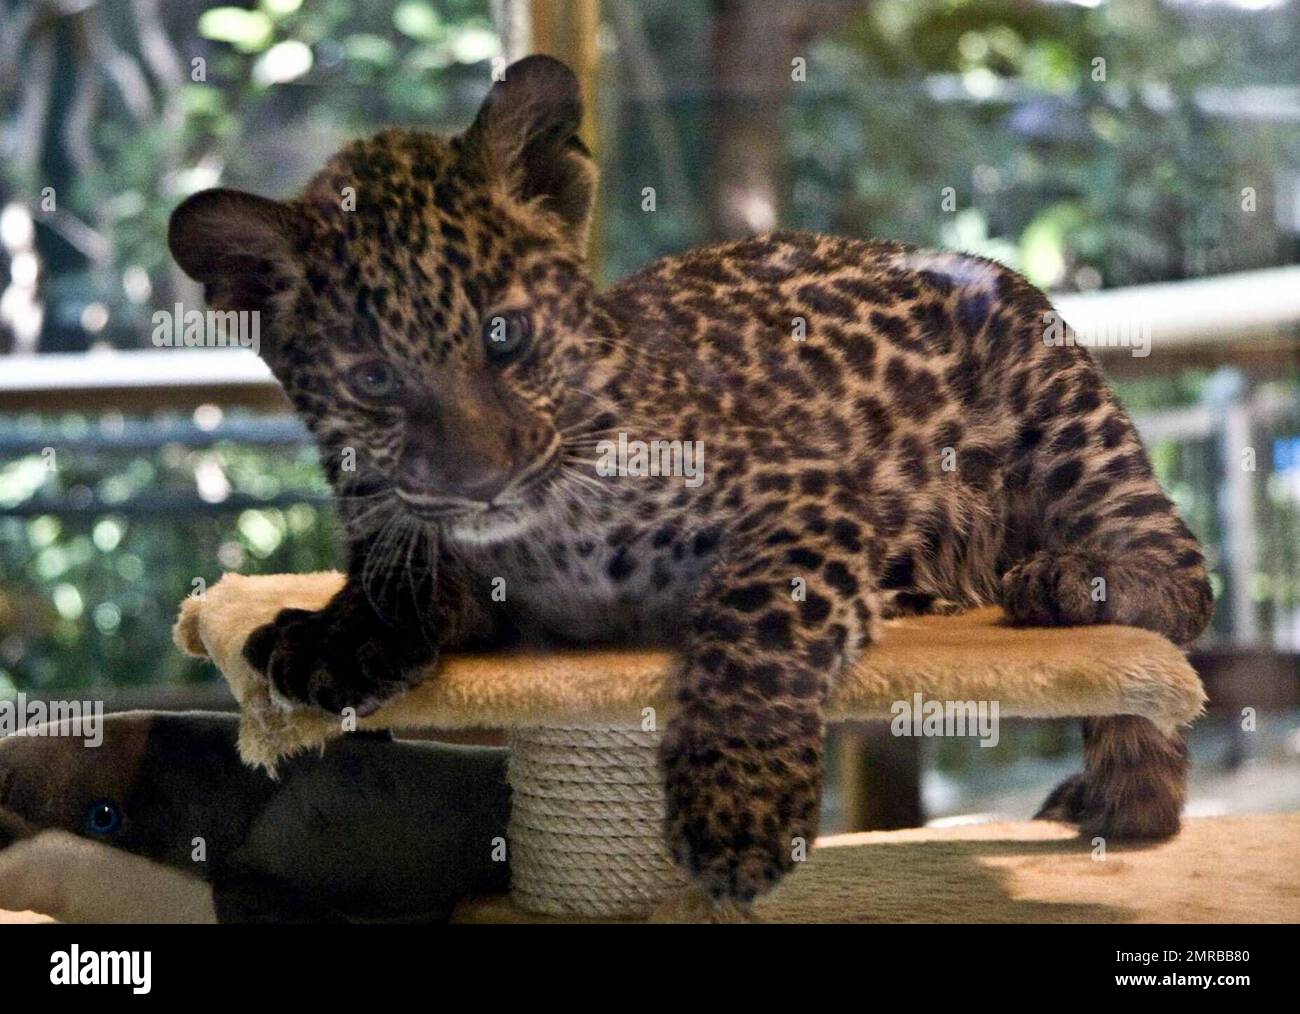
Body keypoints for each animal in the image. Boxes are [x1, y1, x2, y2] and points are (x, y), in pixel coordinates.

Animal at [168, 55, 1214, 906]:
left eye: (505, 335)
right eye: (373, 379)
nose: (481, 480)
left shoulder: (808, 499)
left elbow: (752, 631)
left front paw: (737, 814)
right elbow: (400, 571)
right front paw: (337, 634)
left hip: (1066, 420)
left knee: (1181, 578)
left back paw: (1070, 581)